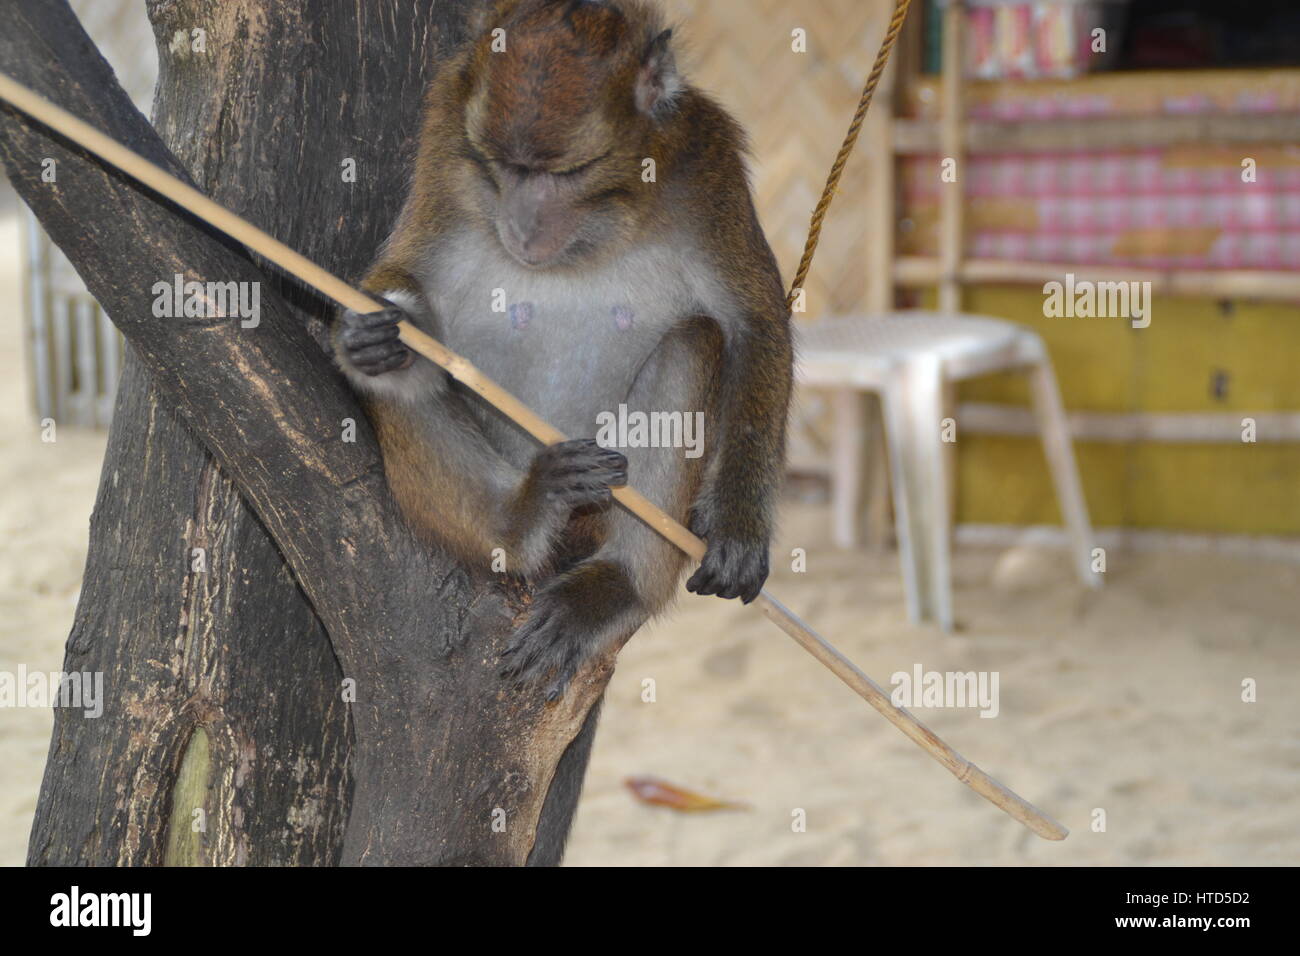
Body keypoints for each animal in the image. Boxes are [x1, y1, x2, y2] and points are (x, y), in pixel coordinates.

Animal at [333, 0, 792, 858]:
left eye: (565, 173)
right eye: (499, 166)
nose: (518, 223)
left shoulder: (707, 166)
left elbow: (753, 327)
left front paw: (741, 524)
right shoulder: (446, 135)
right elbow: (409, 270)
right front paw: (369, 336)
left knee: (694, 342)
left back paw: (617, 583)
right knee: (420, 390)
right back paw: (516, 516)